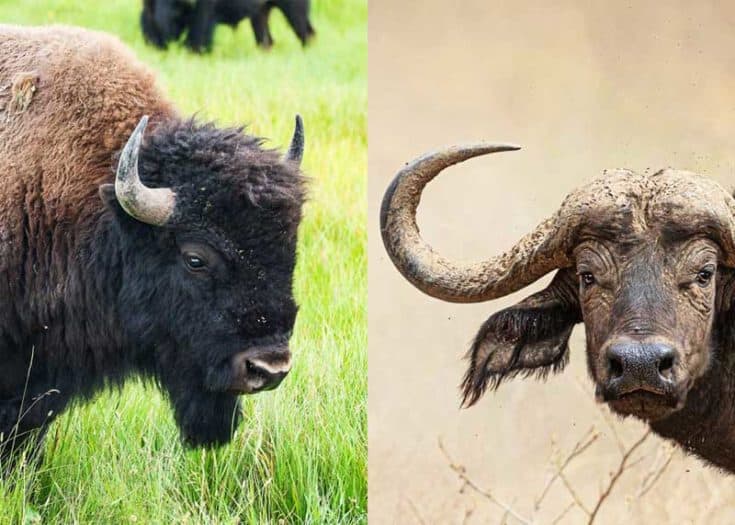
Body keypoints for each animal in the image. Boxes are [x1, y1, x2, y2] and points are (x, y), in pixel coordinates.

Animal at [141, 0, 315, 53]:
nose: (156, 42)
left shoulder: (204, 10)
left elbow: (199, 32)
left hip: (292, 9)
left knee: (306, 32)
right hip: (260, 14)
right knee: (266, 40)